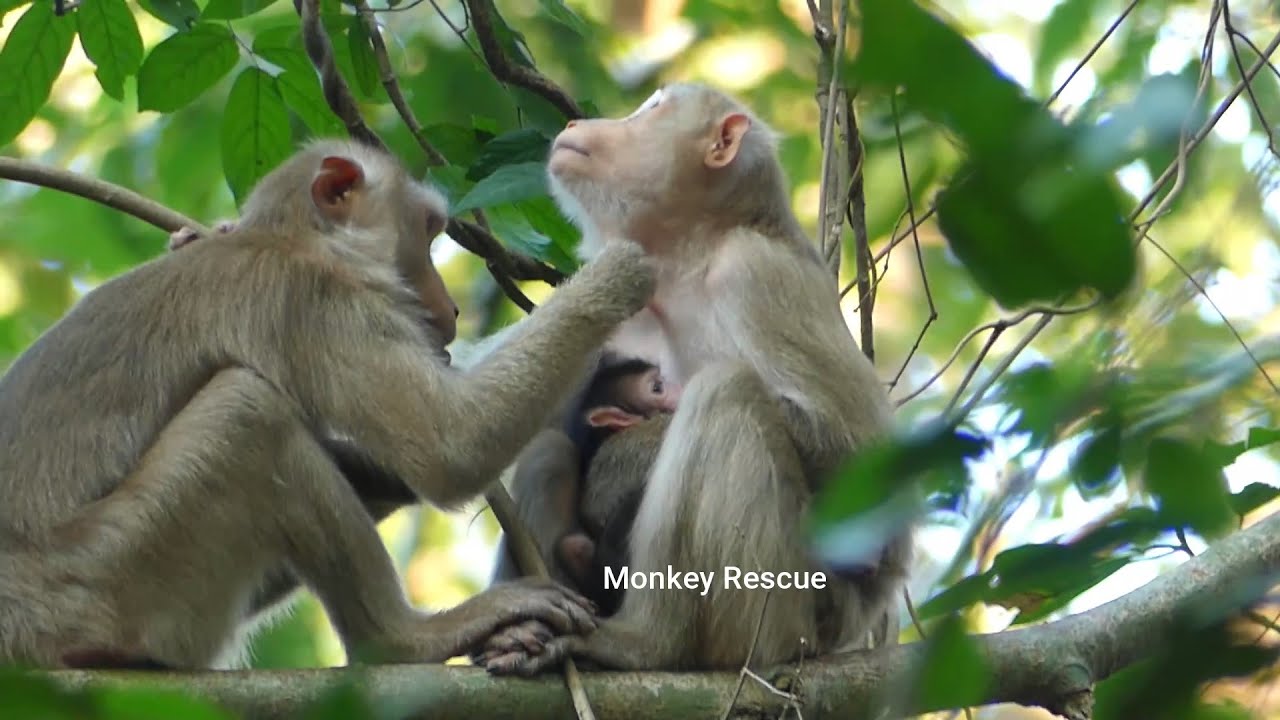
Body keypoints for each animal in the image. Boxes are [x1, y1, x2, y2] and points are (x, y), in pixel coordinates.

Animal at [0, 138, 657, 670]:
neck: (289, 239)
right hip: (109, 583)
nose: (449, 306)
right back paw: (404, 640)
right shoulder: (320, 302)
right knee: (250, 412)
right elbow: (451, 447)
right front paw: (623, 269)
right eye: (427, 231)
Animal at [476, 83, 912, 674]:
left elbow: (864, 472)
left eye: (651, 110)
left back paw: (644, 643)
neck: (687, 263)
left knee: (726, 392)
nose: (573, 122)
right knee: (548, 449)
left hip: (782, 619)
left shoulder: (757, 274)